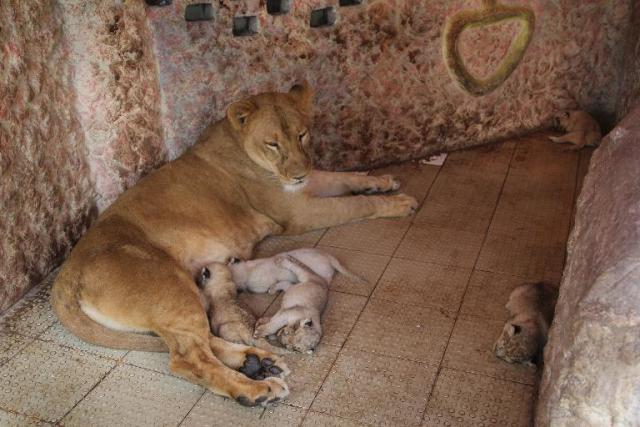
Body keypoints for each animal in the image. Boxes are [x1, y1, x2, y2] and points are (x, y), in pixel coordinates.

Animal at [51, 81, 418, 407]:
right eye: (272, 144)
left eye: (302, 135)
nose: (299, 174)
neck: (242, 147)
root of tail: (66, 275)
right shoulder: (296, 212)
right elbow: (354, 205)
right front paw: (398, 203)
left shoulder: (305, 186)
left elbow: (340, 177)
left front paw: (381, 181)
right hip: (173, 289)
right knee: (188, 358)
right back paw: (256, 389)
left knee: (206, 340)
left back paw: (259, 363)